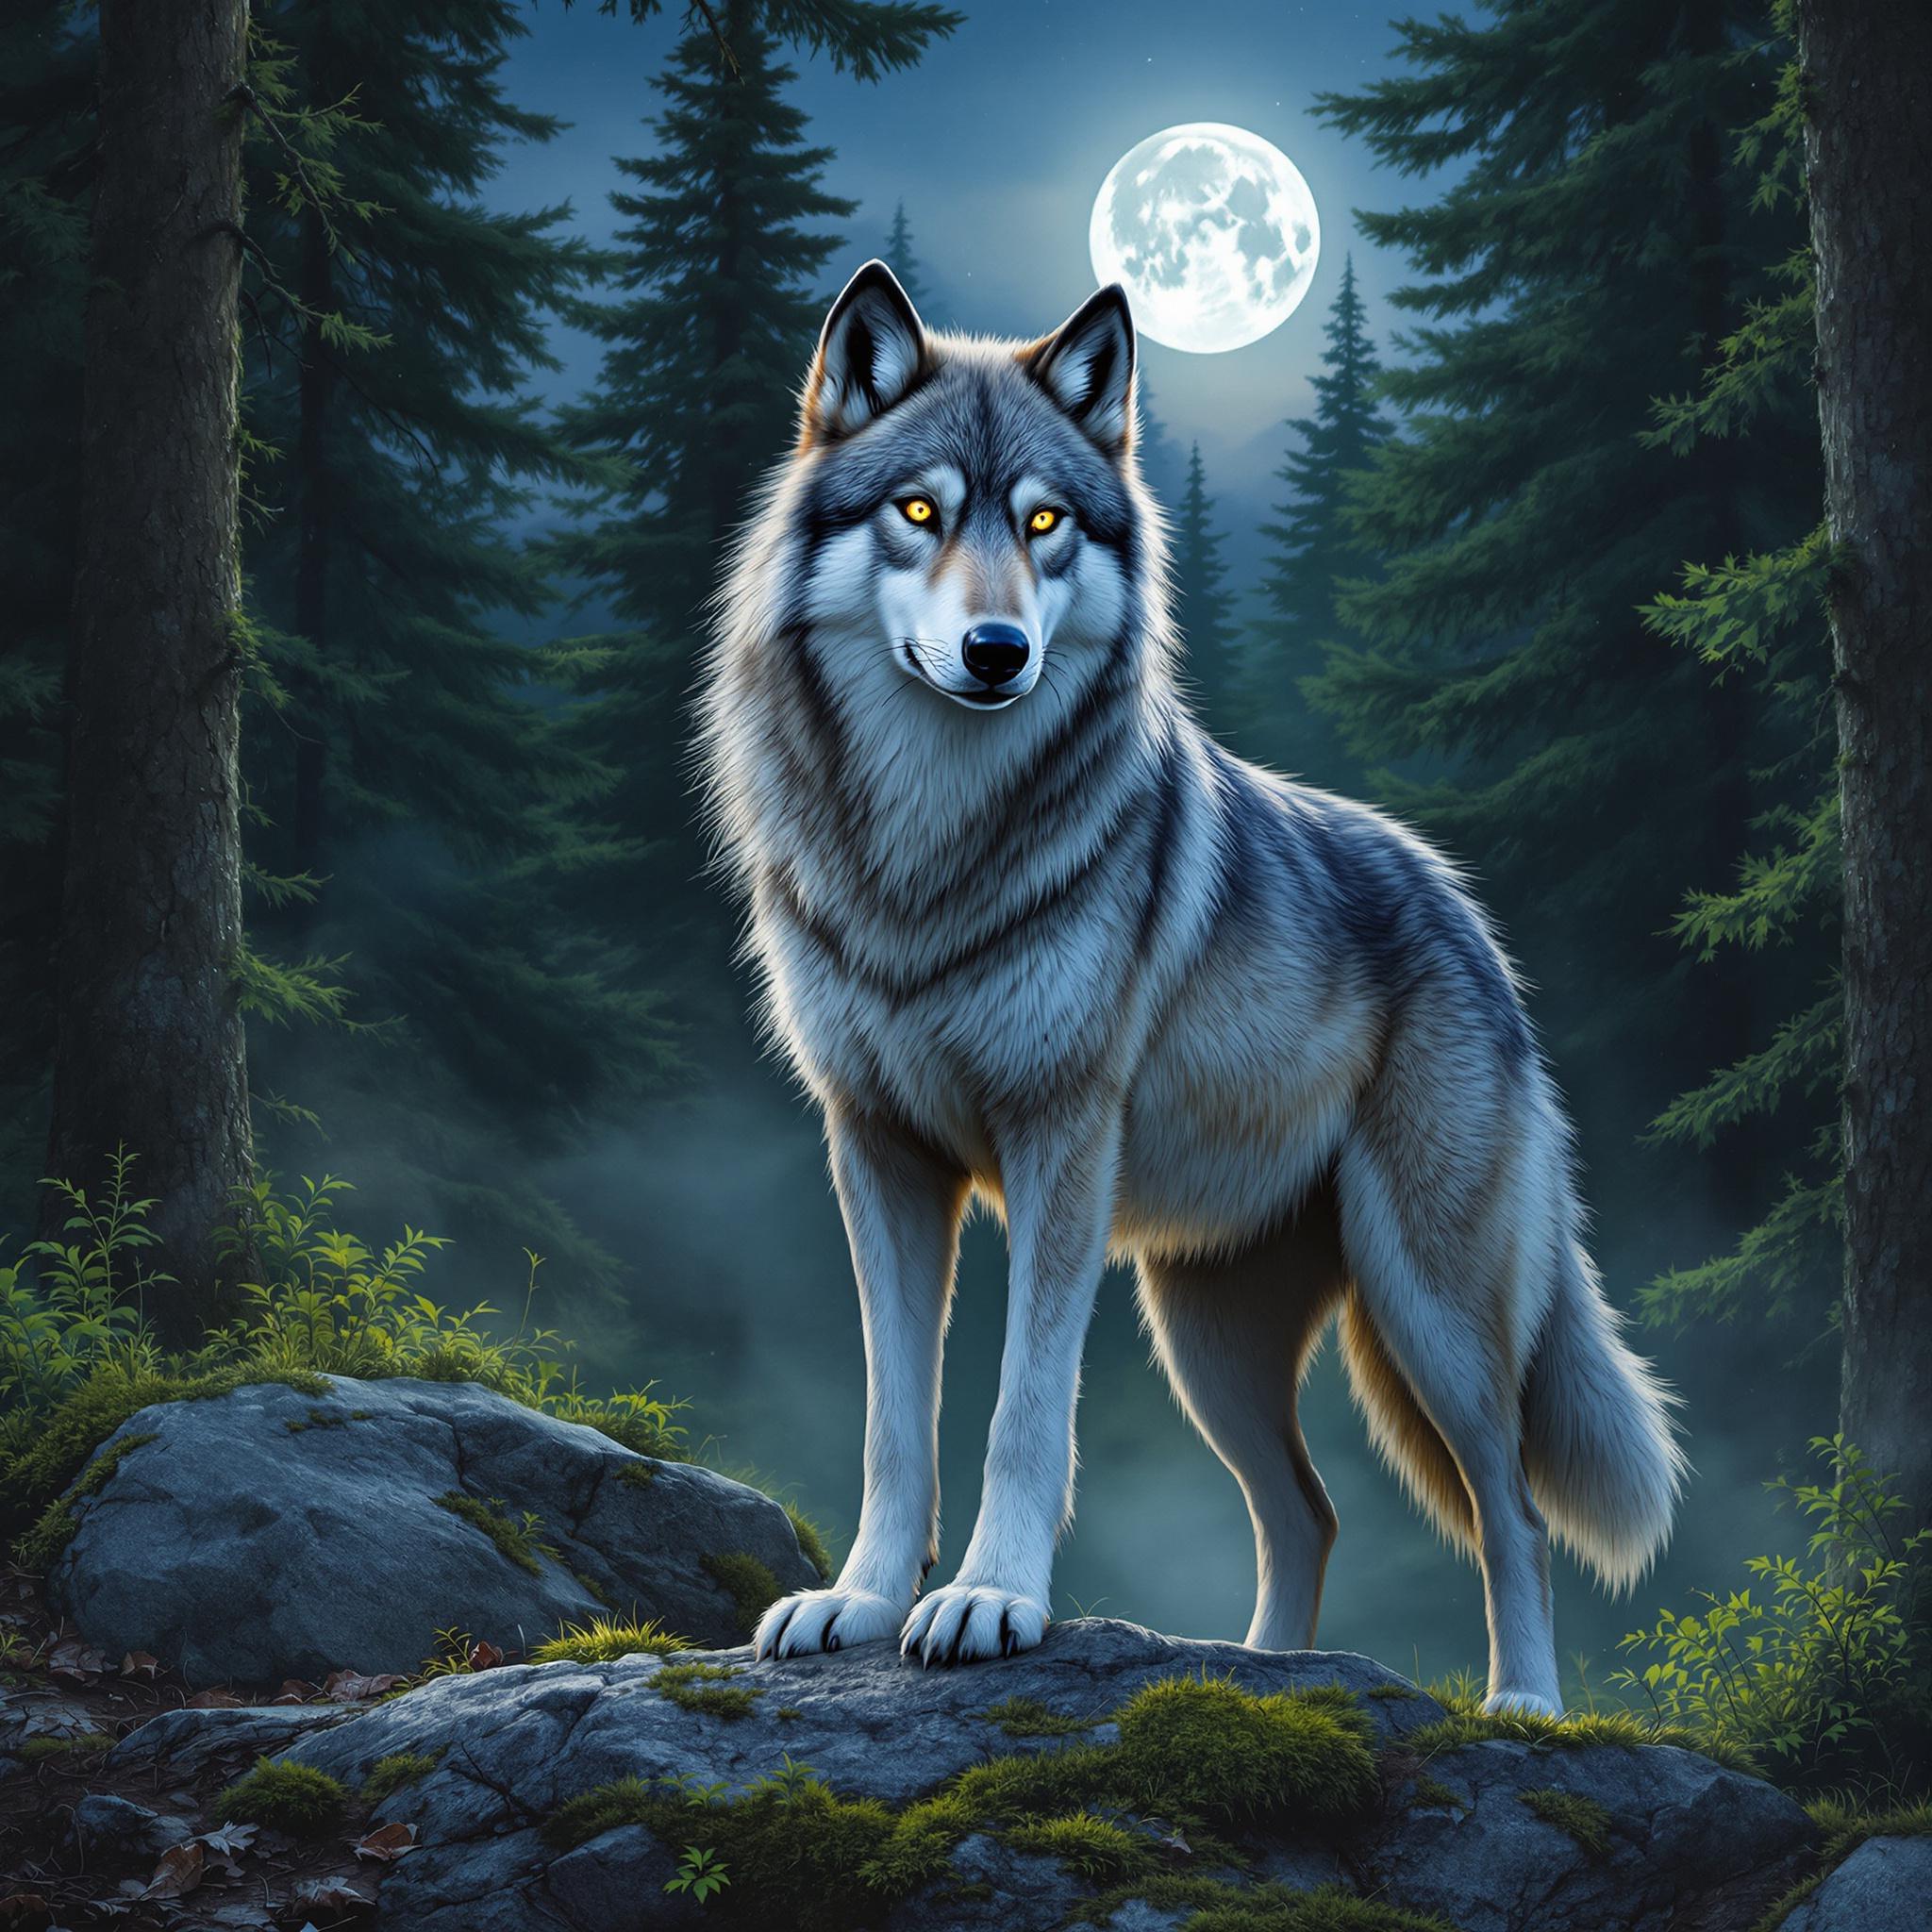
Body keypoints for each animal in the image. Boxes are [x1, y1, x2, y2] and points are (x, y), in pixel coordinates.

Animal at [700, 260, 1684, 1714]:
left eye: (1043, 521)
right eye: (918, 511)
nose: (995, 651)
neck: (931, 854)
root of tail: (1468, 915)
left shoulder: (1057, 1143)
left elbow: (1021, 1411)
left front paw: (990, 1601)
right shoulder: (874, 1151)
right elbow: (894, 1418)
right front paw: (864, 1601)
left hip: (1427, 1311)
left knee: (1507, 1506)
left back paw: (1524, 1705)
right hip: (1207, 1335)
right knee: (1308, 1510)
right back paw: (1262, 1679)